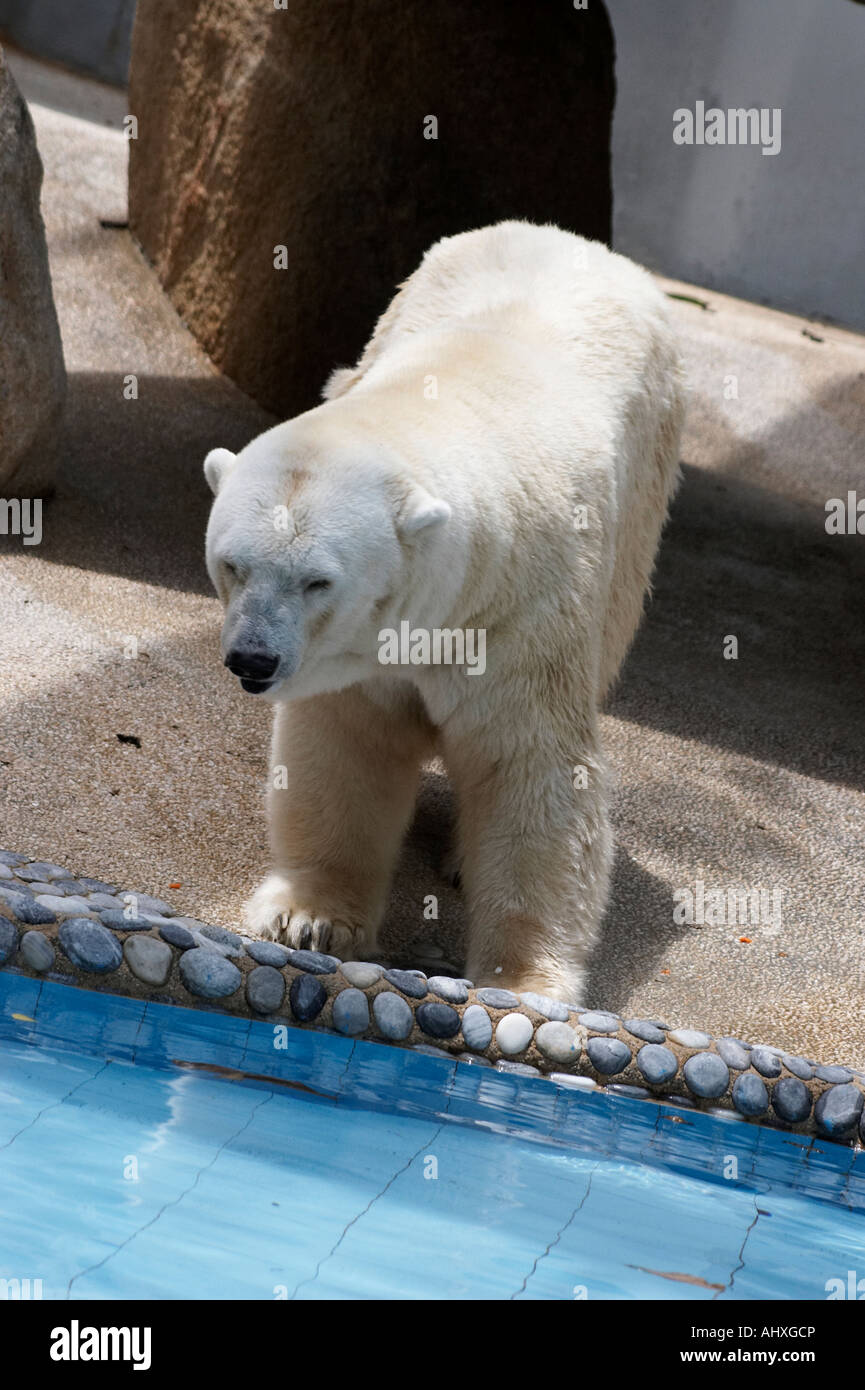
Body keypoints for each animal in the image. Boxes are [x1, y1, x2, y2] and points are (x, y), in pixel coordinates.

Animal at [204, 221, 685, 1004]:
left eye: (317, 582)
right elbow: (347, 745)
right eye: (232, 564)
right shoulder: (369, 657)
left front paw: (522, 982)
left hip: (643, 492)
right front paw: (309, 918)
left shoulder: (522, 610)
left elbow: (531, 764)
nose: (253, 657)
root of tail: (576, 240)